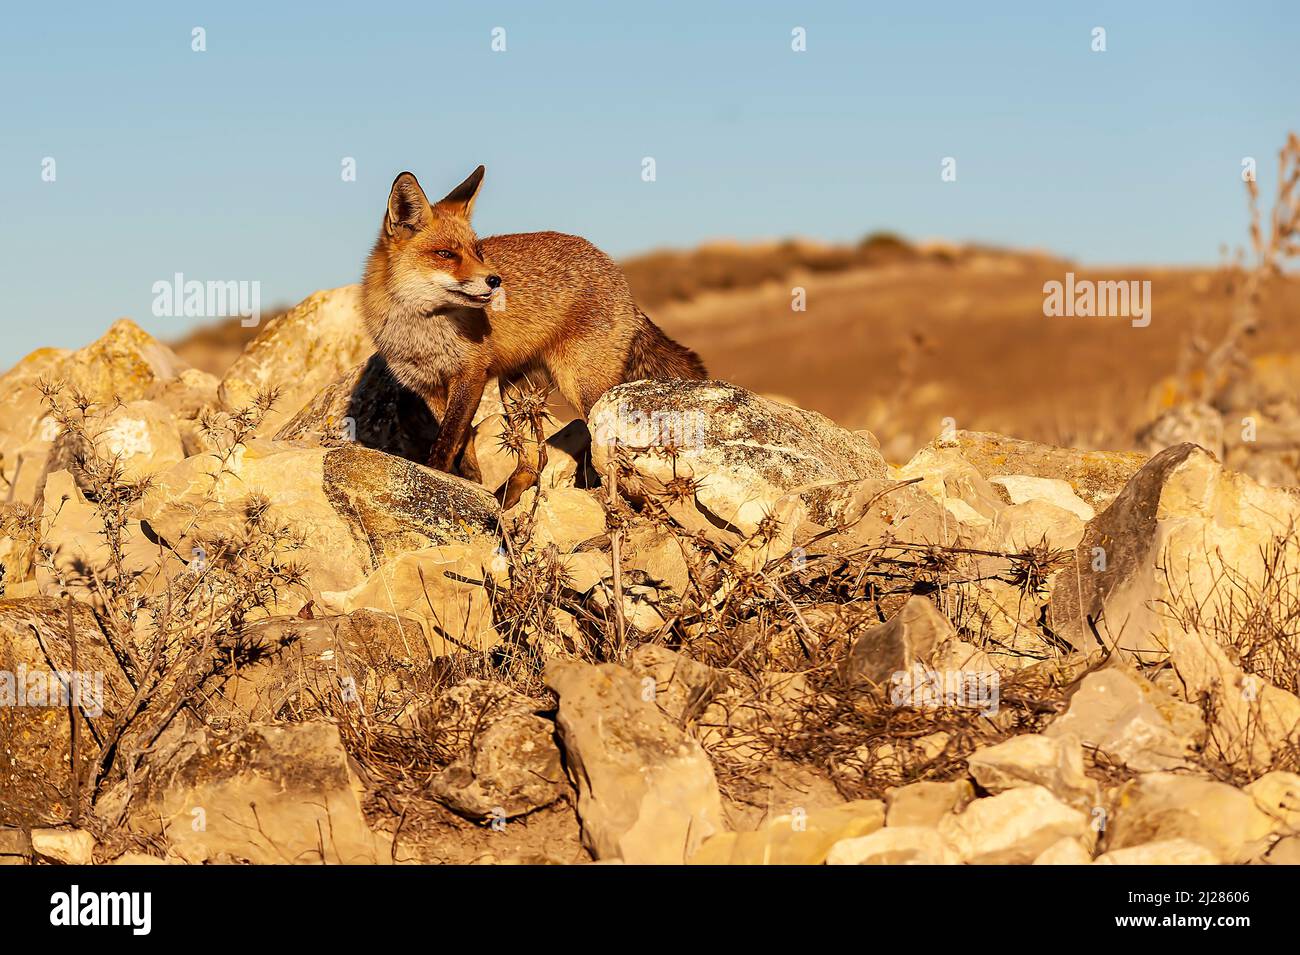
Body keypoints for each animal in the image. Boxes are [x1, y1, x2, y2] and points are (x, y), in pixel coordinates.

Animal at [361, 166, 707, 507]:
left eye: (477, 251)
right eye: (445, 254)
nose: (494, 280)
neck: (421, 331)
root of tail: (618, 276)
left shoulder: (470, 374)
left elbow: (448, 440)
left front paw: (438, 479)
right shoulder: (430, 386)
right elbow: (462, 442)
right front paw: (468, 481)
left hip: (581, 387)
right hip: (518, 393)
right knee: (534, 461)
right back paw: (506, 499)